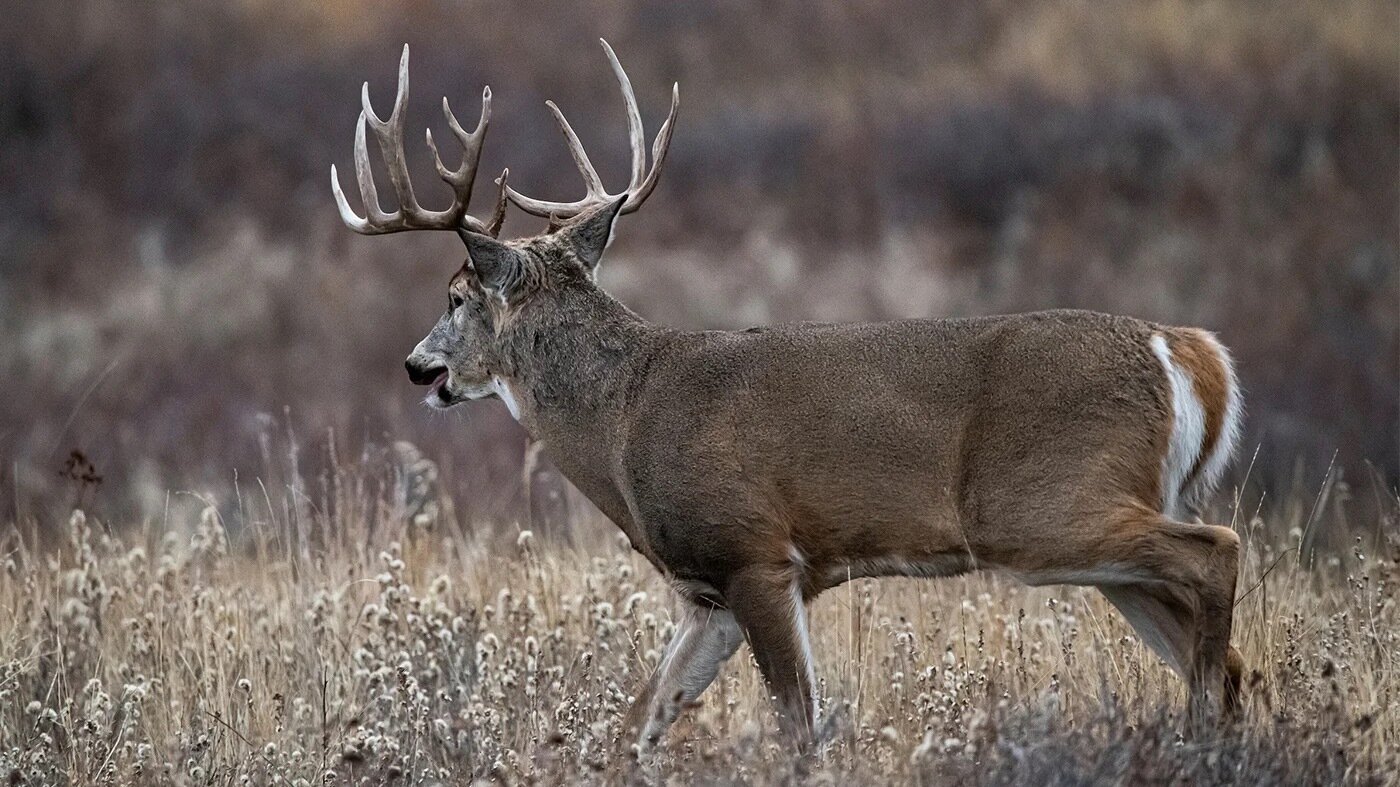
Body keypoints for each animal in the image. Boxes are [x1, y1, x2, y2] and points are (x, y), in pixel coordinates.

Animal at [330, 40, 1246, 747]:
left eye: (457, 295)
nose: (416, 366)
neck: (625, 417)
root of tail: (1188, 349)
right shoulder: (706, 592)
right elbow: (637, 721)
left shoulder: (757, 551)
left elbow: (800, 726)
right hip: (1101, 543)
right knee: (1228, 655)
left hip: (1042, 506)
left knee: (1219, 552)